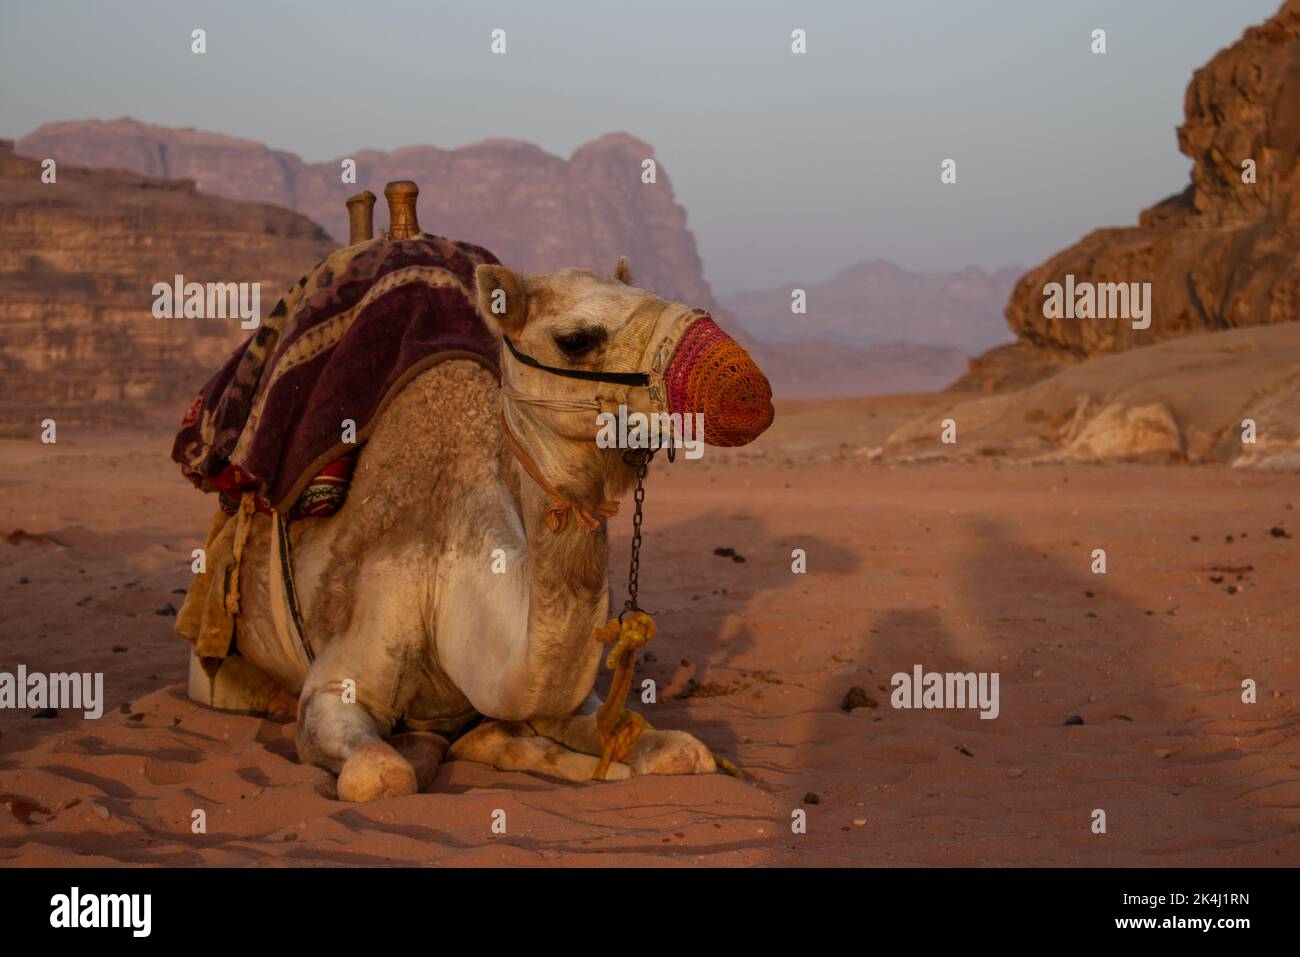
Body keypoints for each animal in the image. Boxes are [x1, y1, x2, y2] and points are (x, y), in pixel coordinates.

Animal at [185, 253, 775, 801]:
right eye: (576, 339)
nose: (745, 388)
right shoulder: (337, 679)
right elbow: (382, 773)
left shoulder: (571, 698)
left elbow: (681, 752)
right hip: (215, 662)